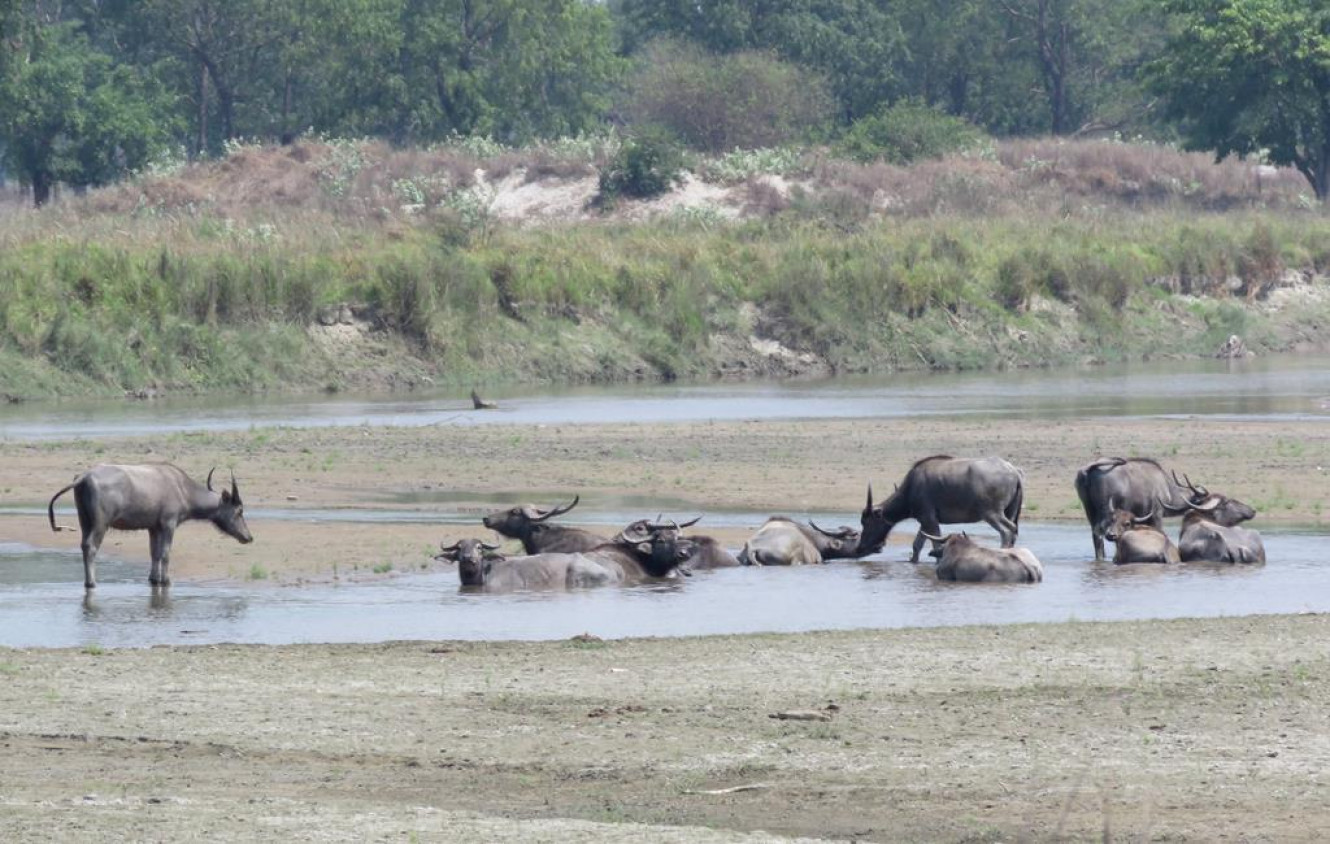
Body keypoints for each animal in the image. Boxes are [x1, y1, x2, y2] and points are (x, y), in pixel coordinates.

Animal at [49, 463, 253, 589]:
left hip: (84, 521)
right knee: (91, 546)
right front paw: (166, 580)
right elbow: (165, 553)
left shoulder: (153, 528)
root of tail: (83, 477)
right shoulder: (169, 524)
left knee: (83, 544)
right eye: (239, 510)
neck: (182, 488)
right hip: (100, 524)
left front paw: (154, 579)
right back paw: (91, 583)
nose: (249, 537)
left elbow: (154, 553)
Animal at [859, 455, 1024, 562]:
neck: (911, 489)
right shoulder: (925, 522)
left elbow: (935, 544)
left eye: (866, 522)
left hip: (992, 514)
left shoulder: (929, 520)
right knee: (1013, 530)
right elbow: (917, 545)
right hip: (1008, 512)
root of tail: (1015, 471)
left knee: (1007, 531)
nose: (861, 548)